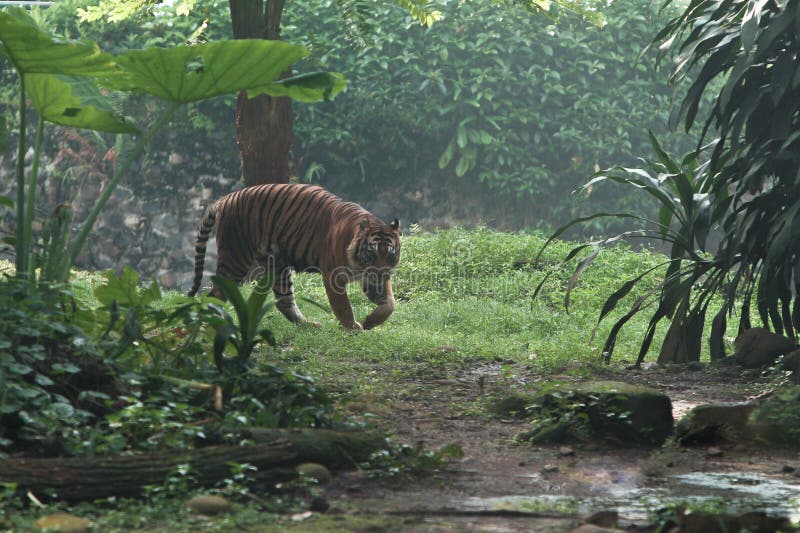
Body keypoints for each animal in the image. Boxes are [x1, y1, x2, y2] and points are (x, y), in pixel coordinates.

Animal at [188, 183, 401, 330]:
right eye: (371, 253)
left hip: (278, 265)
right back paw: (214, 323)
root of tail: (226, 198)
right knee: (216, 294)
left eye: (390, 255)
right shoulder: (333, 277)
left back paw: (308, 325)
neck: (359, 264)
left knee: (284, 300)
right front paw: (353, 328)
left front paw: (370, 322)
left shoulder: (372, 278)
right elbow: (343, 306)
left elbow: (389, 304)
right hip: (236, 258)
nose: (382, 275)